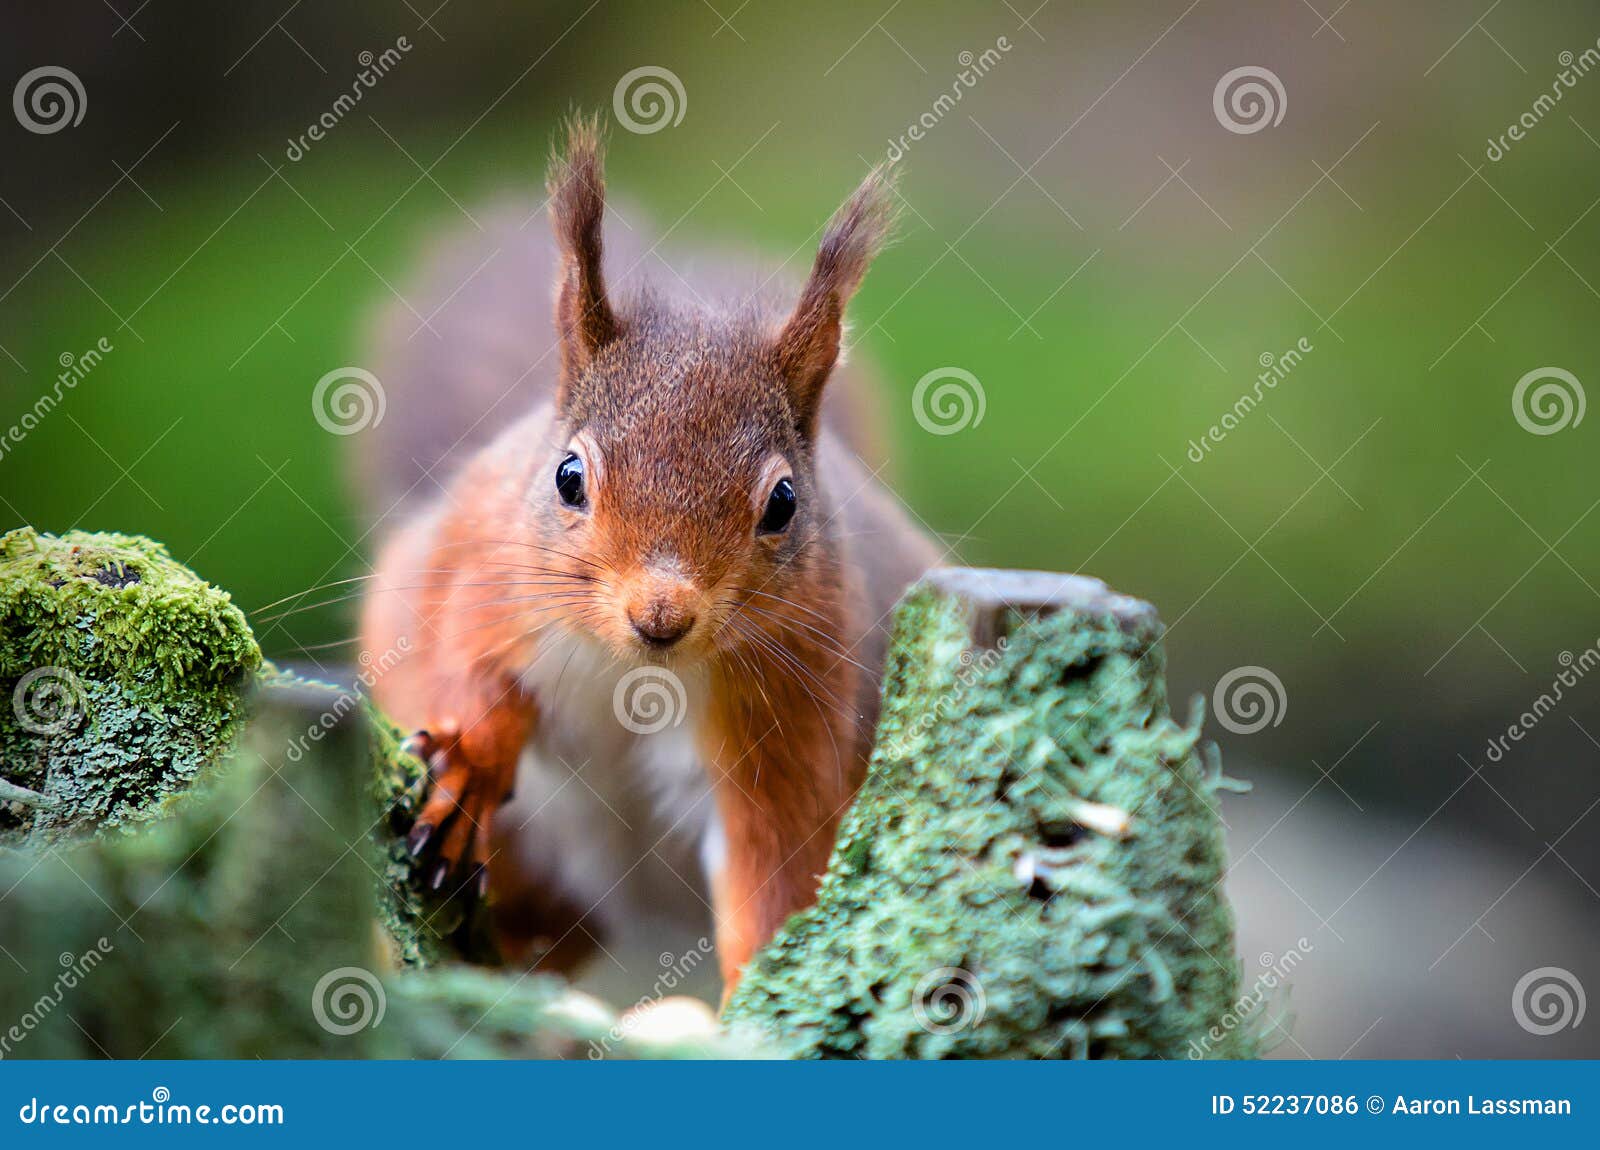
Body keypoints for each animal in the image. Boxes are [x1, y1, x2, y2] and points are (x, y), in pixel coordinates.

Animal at [357, 116, 938, 992]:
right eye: (567, 476)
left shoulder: (793, 713)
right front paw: (468, 769)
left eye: (783, 502)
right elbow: (469, 662)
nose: (660, 616)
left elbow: (772, 872)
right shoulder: (487, 569)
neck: (638, 672)